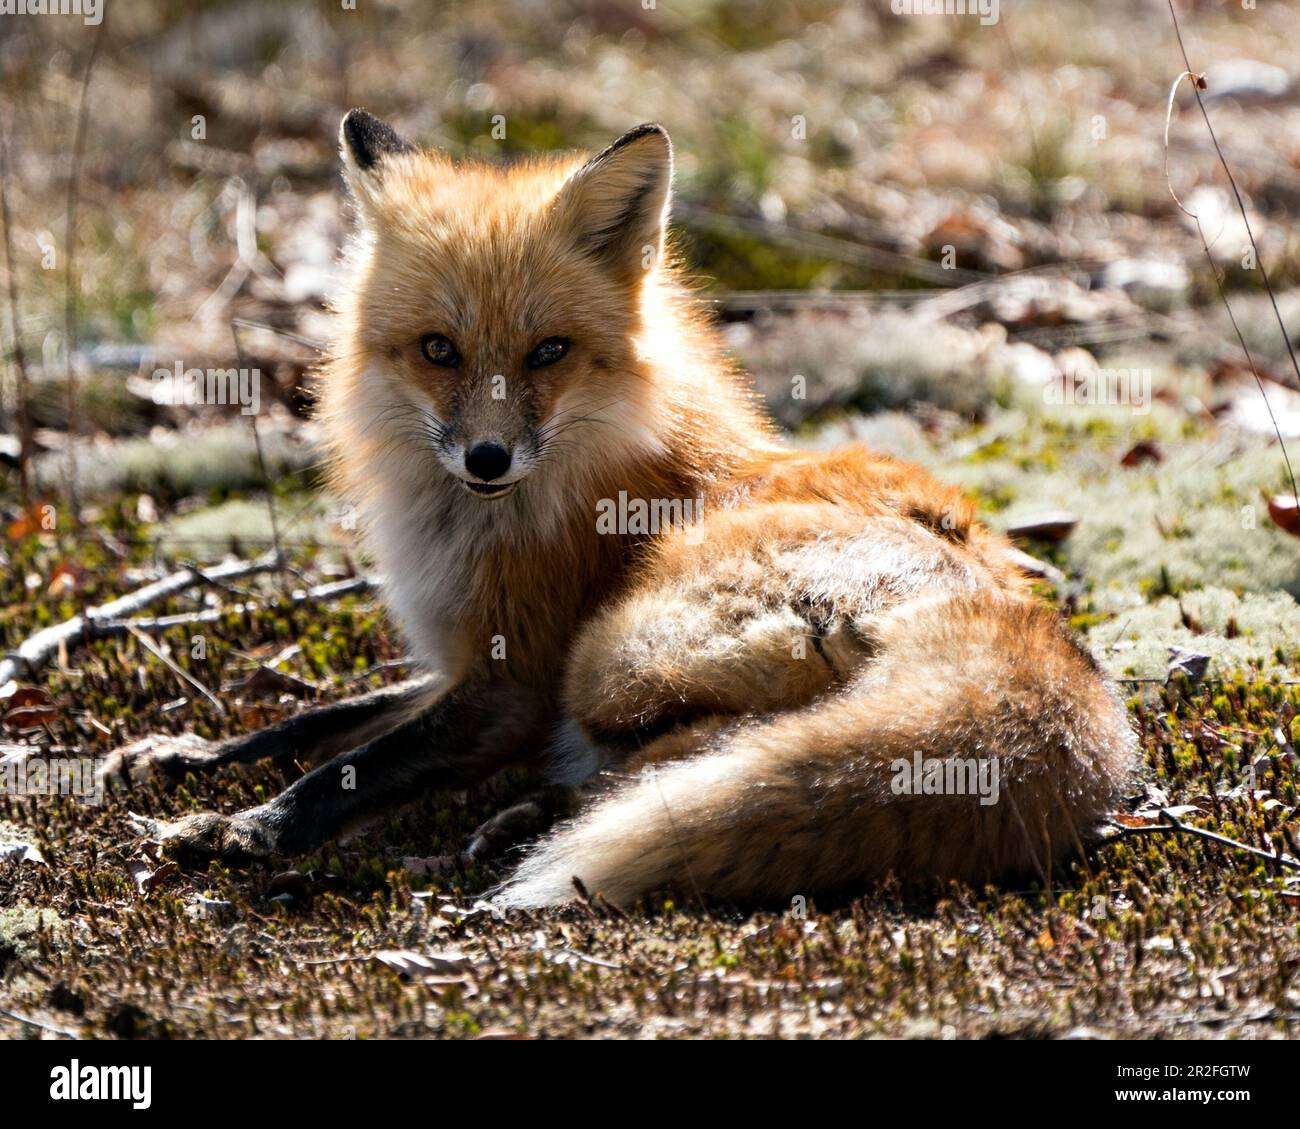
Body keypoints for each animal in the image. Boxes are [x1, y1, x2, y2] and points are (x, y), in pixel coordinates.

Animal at [116, 111, 1135, 907]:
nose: (488, 458)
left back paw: (544, 817)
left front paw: (246, 827)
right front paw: (186, 756)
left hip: (608, 660)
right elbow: (317, 721)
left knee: (715, 747)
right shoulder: (465, 661)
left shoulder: (515, 682)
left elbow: (353, 765)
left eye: (549, 352)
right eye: (439, 350)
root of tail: (1020, 615)